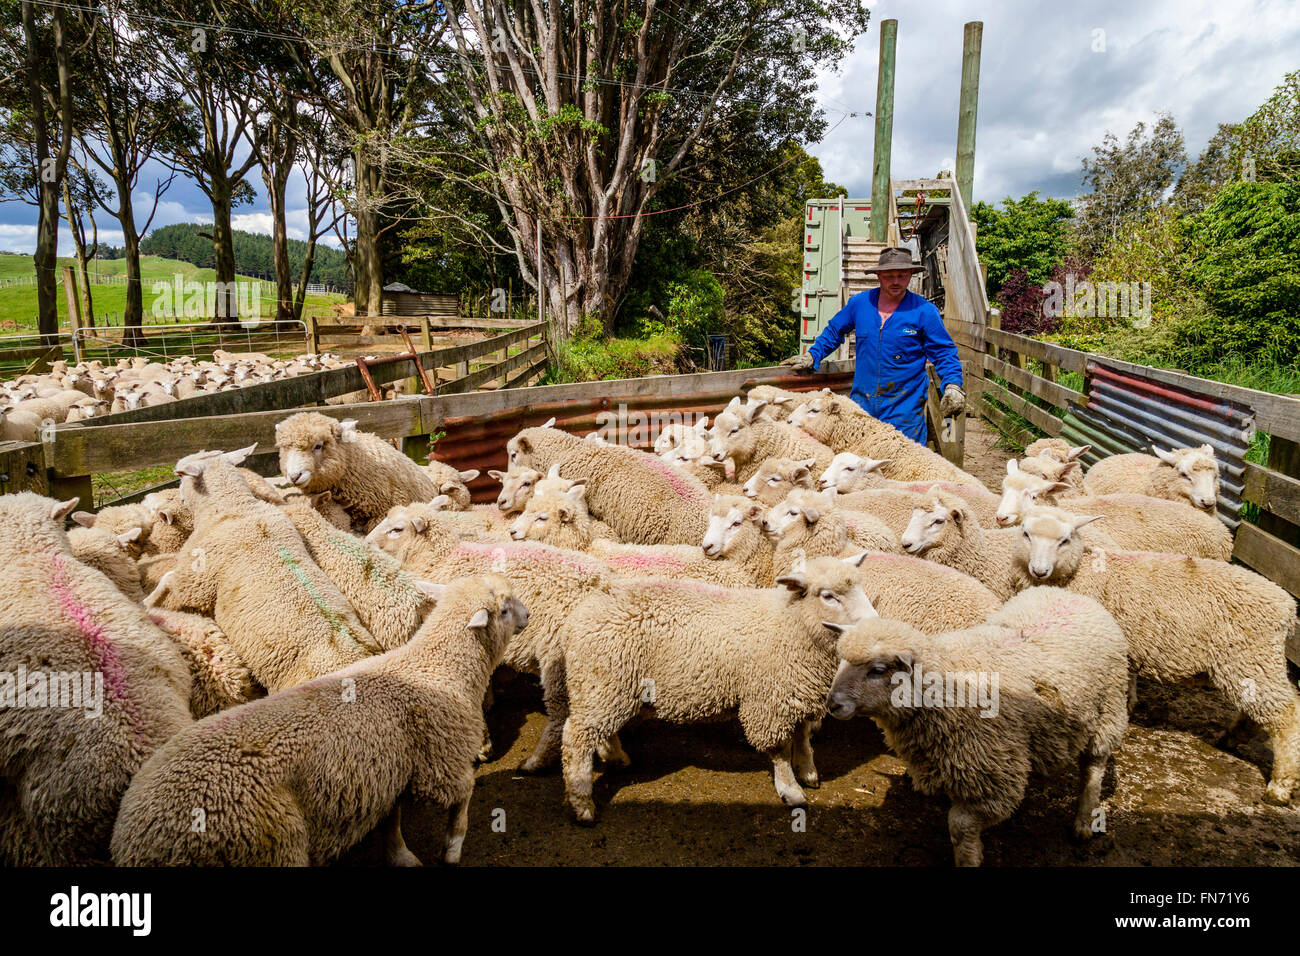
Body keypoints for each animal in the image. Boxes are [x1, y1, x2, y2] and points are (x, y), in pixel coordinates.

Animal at [111, 575, 526, 867]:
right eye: (505, 608)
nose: (528, 616)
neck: (438, 665)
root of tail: (139, 839)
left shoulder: (388, 771)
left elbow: (391, 819)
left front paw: (400, 855)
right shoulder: (441, 762)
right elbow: (463, 798)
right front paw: (453, 848)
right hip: (269, 845)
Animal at [145, 450, 386, 693]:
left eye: (180, 475)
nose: (179, 497)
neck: (234, 507)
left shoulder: (196, 581)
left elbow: (168, 579)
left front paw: (147, 603)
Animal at [559, 554, 879, 823]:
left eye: (860, 587)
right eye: (828, 596)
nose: (873, 627)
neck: (791, 624)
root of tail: (582, 612)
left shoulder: (796, 692)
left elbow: (802, 737)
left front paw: (808, 771)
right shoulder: (769, 701)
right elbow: (779, 750)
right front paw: (790, 789)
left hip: (610, 689)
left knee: (600, 730)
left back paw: (615, 757)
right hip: (603, 682)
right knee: (576, 738)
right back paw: (582, 803)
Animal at [826, 586, 1130, 866]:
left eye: (877, 670)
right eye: (840, 661)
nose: (832, 704)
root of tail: (1076, 596)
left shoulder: (994, 777)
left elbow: (960, 827)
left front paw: (970, 858)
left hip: (1108, 710)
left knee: (1093, 768)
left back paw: (1083, 821)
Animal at [1017, 503, 1300, 804]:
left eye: (1065, 540)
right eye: (1026, 533)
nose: (1039, 570)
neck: (1081, 572)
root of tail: (1287, 607)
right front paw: (1130, 701)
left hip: (1250, 657)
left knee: (1286, 715)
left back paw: (1280, 786)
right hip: (1254, 663)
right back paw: (1232, 738)